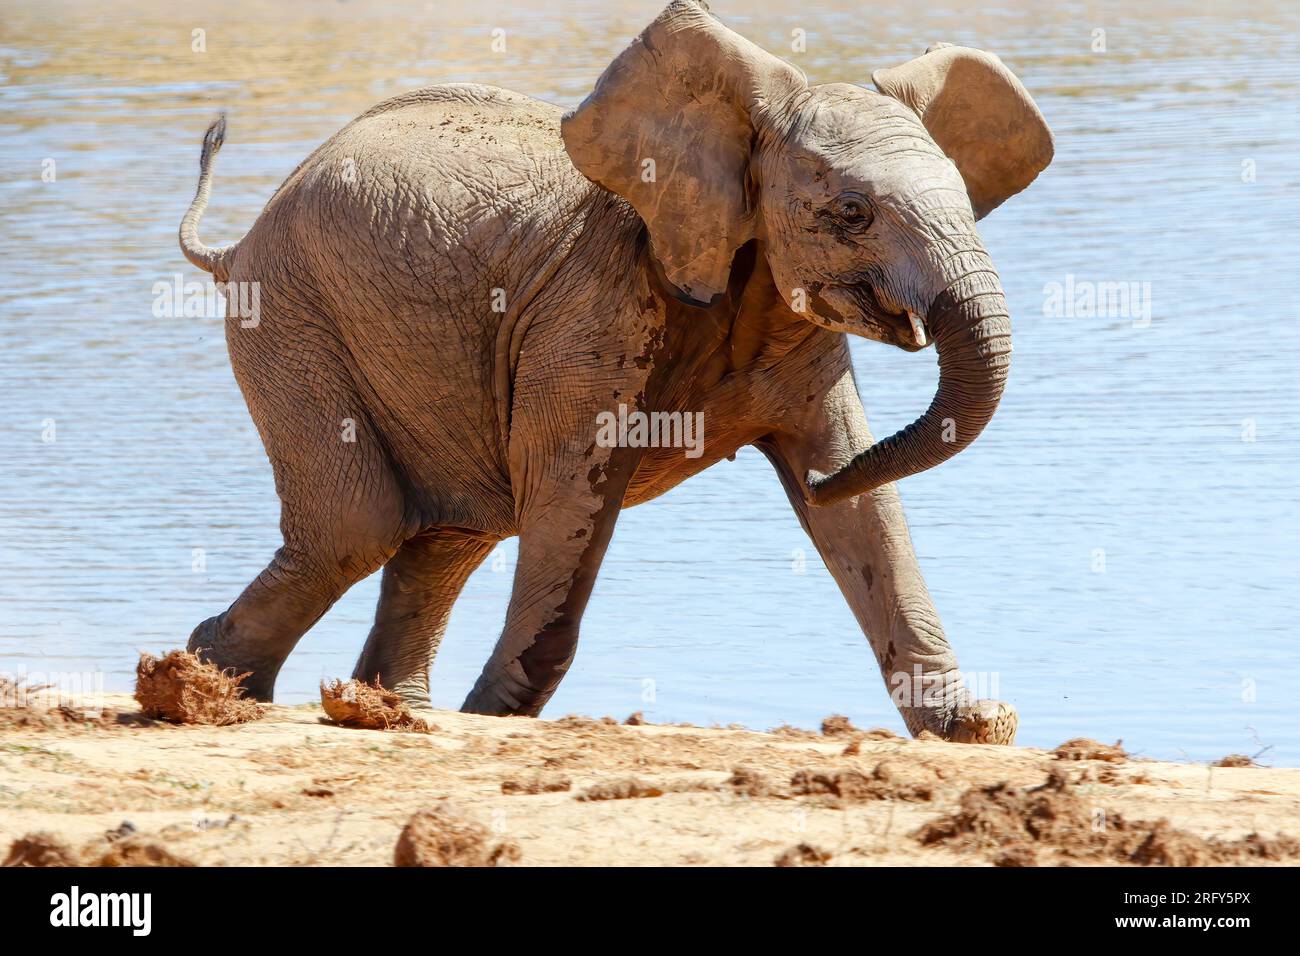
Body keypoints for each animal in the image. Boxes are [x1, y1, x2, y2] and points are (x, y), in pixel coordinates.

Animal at [177, 0, 1052, 743]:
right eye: (851, 213)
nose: (804, 483)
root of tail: (236, 243)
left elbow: (865, 517)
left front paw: (972, 730)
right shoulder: (589, 311)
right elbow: (568, 492)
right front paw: (494, 716)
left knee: (444, 535)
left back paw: (377, 711)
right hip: (292, 319)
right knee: (359, 526)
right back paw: (207, 685)